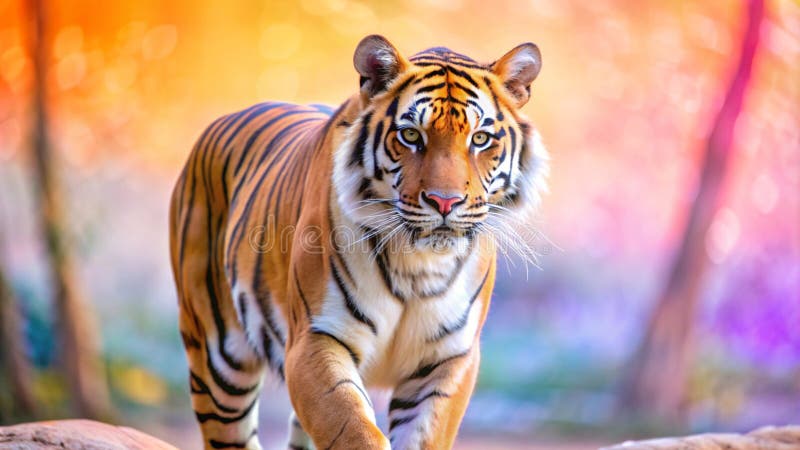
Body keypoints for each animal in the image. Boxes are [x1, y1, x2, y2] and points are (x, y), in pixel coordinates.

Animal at [169, 35, 548, 450]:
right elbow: (352, 428)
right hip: (218, 359)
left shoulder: (447, 359)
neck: (419, 264)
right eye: (411, 135)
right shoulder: (316, 338)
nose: (445, 202)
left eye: (479, 139)